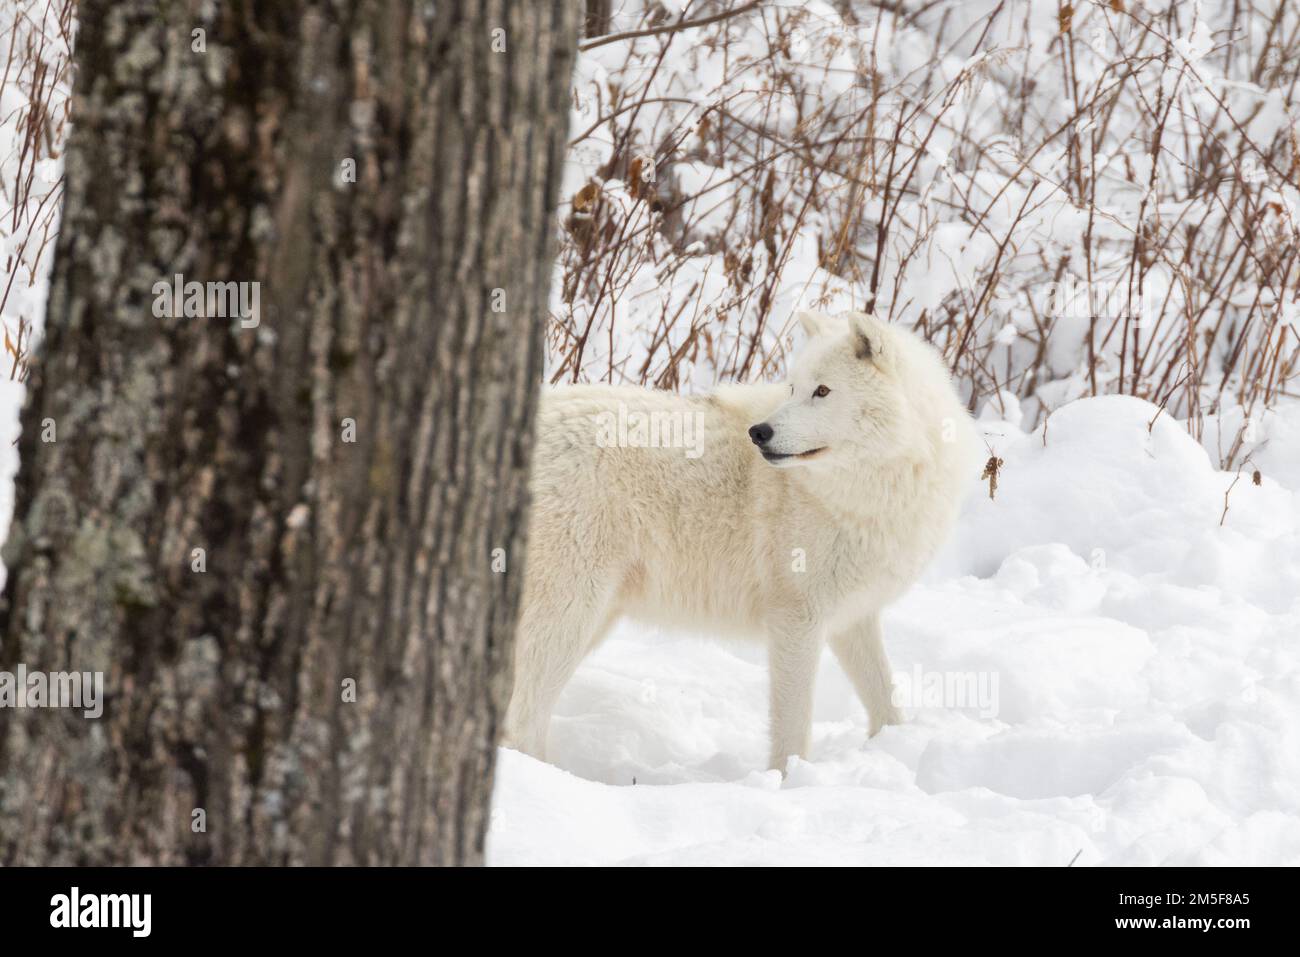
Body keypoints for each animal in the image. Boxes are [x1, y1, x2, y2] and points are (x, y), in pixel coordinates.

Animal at [506, 310, 980, 770]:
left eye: (822, 391)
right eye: (793, 387)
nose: (759, 433)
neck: (866, 494)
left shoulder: (853, 617)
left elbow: (886, 703)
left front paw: (898, 745)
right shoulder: (796, 619)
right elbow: (793, 729)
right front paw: (789, 780)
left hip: (592, 618)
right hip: (570, 618)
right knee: (522, 722)